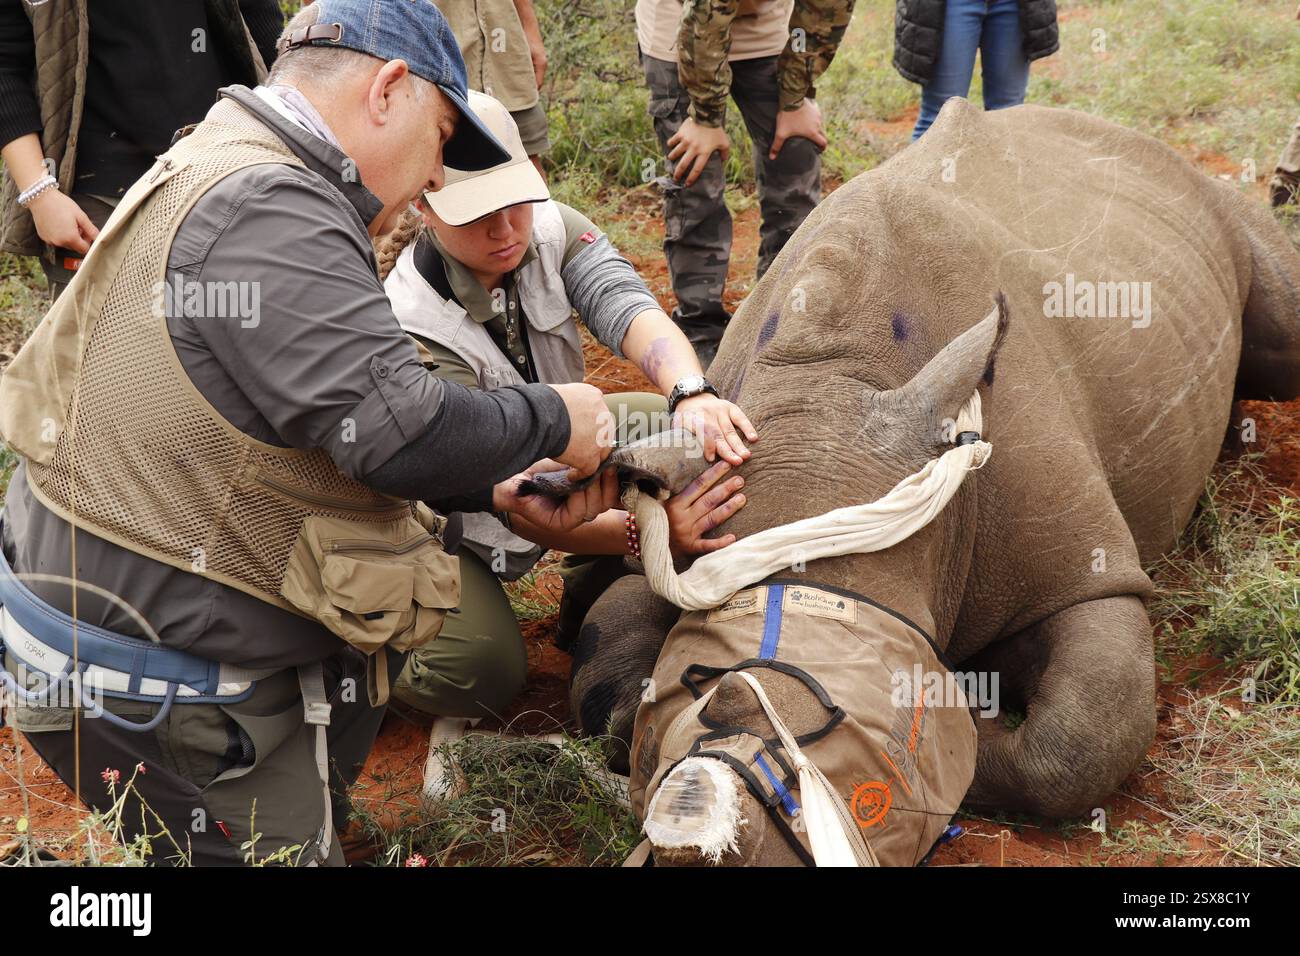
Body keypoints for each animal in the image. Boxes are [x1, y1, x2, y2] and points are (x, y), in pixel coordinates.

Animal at [565, 98, 1300, 866]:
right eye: (696, 695)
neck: (826, 390)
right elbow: (612, 683)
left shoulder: (1086, 573)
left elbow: (1082, 734)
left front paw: (973, 726)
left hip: (1208, 208)